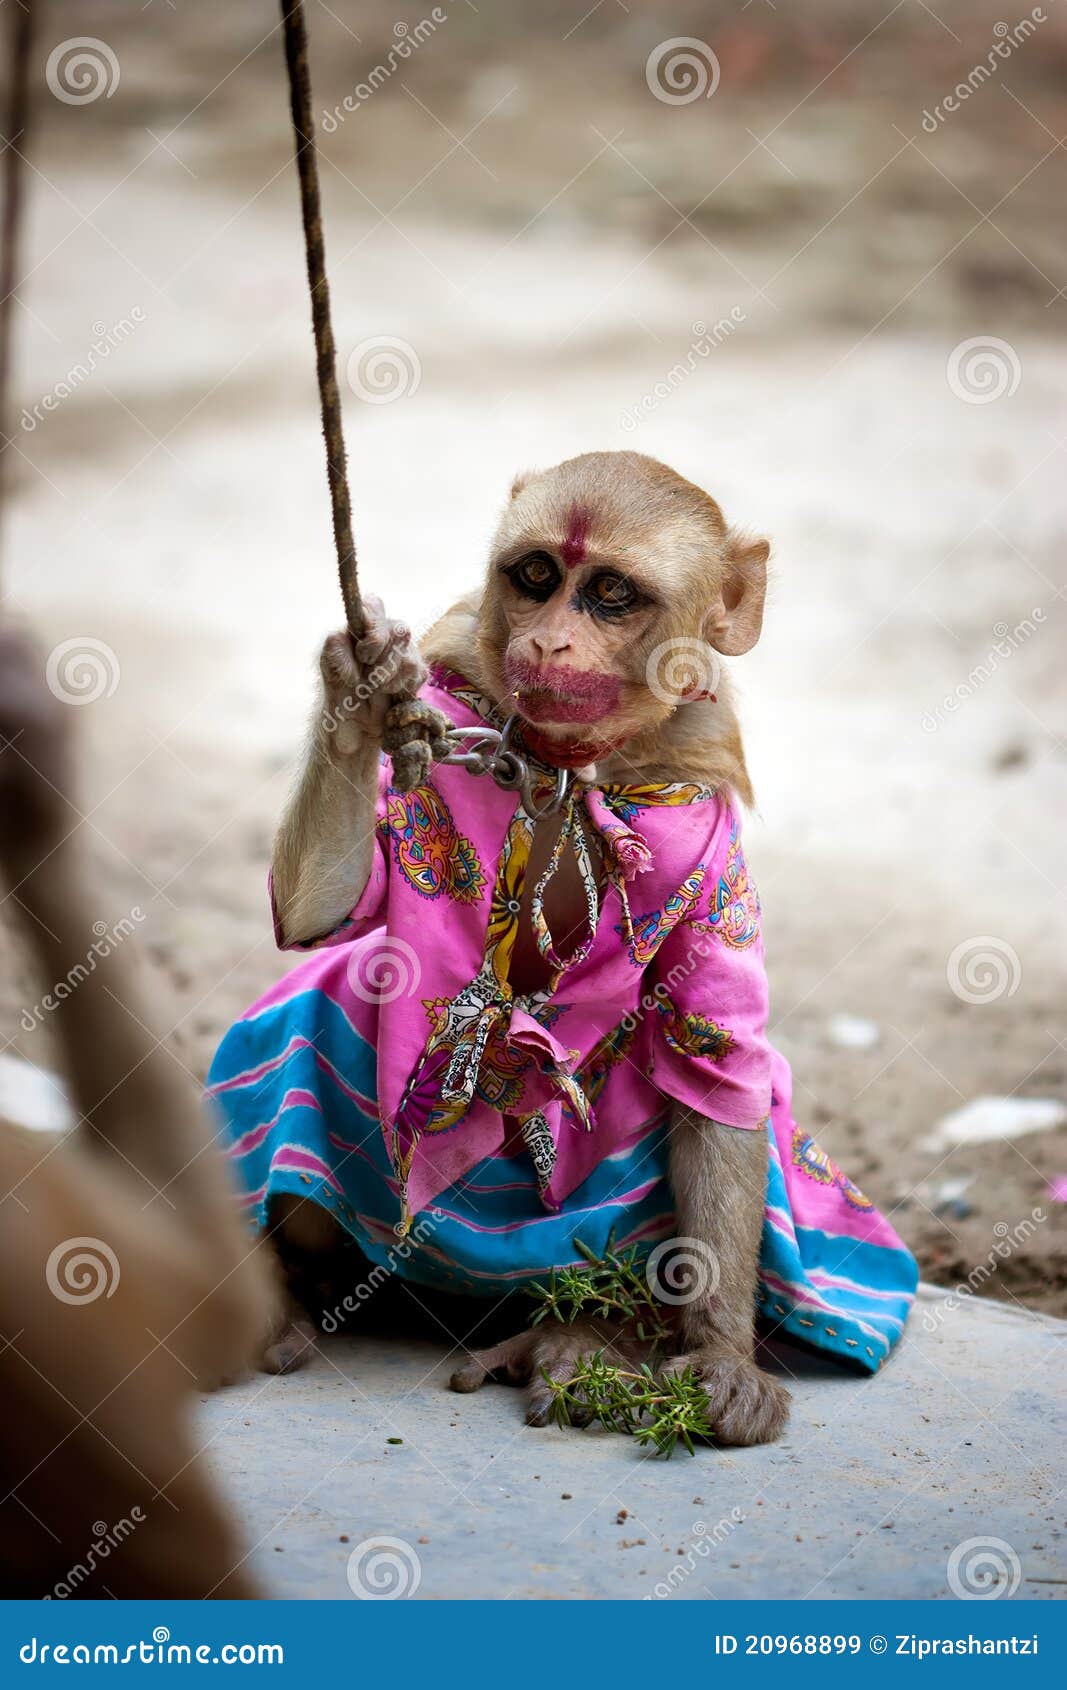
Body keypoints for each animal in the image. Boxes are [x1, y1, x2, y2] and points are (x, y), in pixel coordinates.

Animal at [211, 450, 917, 1444]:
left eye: (611, 594)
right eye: (538, 576)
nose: (547, 644)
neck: (565, 773)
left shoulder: (702, 812)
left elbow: (717, 1061)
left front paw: (719, 1358)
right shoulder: (457, 696)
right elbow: (327, 913)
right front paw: (359, 680)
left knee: (661, 1069)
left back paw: (579, 1335)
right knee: (327, 999)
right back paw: (285, 1296)